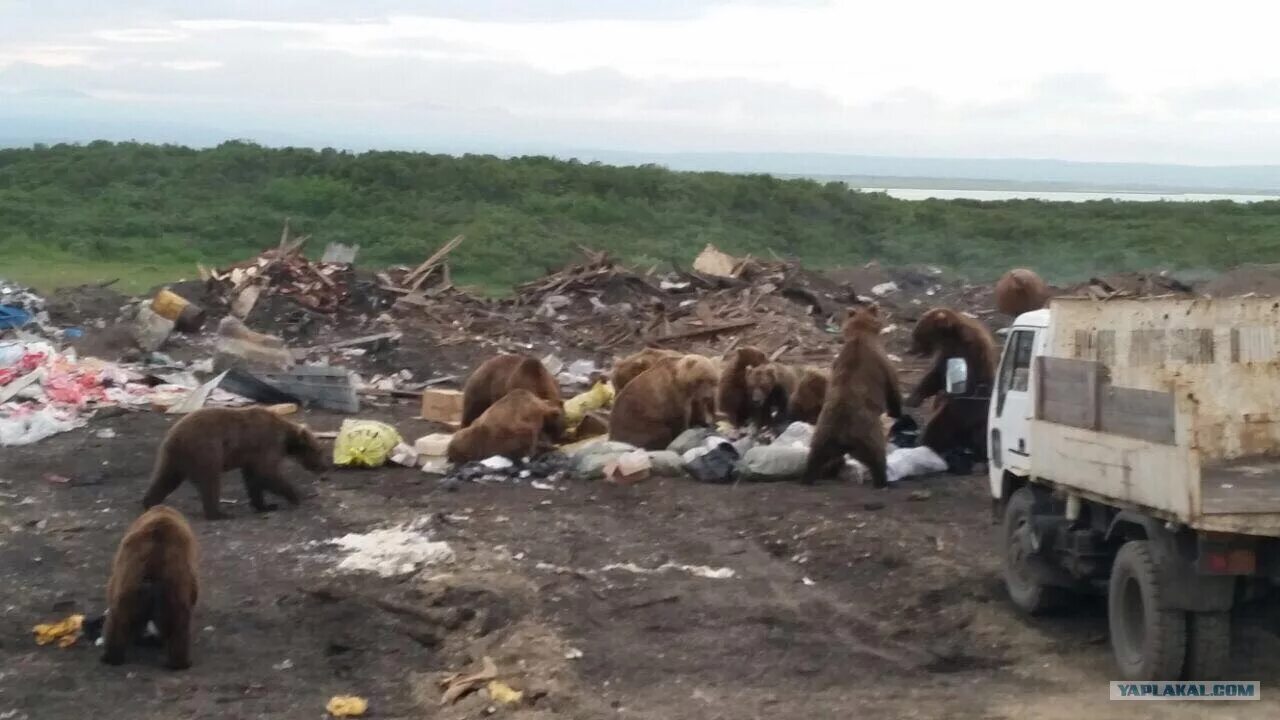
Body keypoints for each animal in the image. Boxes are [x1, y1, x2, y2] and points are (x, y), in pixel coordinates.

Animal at [102, 504, 198, 666]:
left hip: (132, 588)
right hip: (168, 587)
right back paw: (180, 661)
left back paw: (113, 655)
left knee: (119, 617)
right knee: (179, 622)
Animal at [140, 407, 330, 517]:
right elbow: (267, 473)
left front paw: (265, 505)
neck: (287, 440)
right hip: (206, 450)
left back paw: (149, 503)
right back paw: (218, 513)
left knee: (165, 479)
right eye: (319, 450)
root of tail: (174, 437)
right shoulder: (266, 444)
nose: (324, 467)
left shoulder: (251, 456)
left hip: (173, 458)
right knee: (210, 482)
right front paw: (296, 496)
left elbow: (253, 479)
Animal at [803, 303, 906, 486]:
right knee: (877, 455)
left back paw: (807, 477)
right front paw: (897, 412)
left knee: (815, 455)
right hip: (867, 431)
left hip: (824, 432)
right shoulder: (883, 364)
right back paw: (883, 481)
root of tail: (843, 438)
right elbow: (894, 391)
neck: (860, 334)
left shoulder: (836, 364)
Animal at [906, 304, 993, 456]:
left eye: (917, 335)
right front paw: (913, 399)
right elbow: (935, 377)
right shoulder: (946, 355)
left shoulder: (967, 356)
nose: (911, 349)